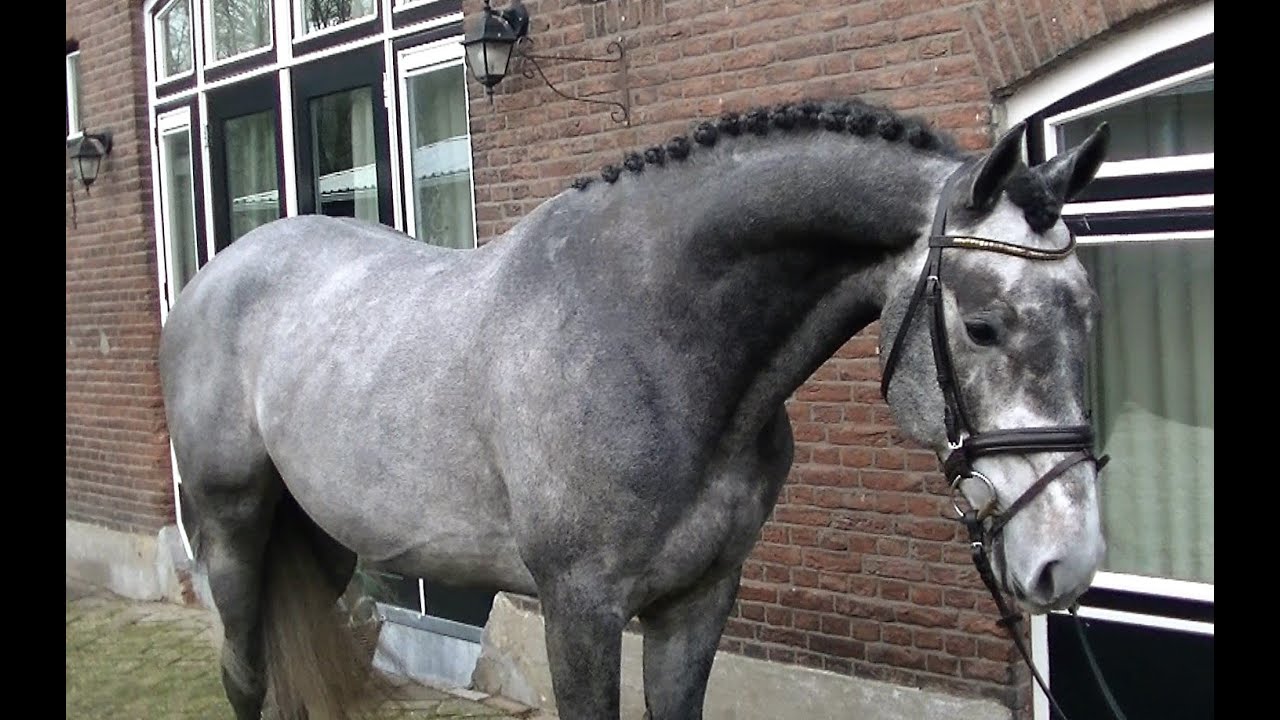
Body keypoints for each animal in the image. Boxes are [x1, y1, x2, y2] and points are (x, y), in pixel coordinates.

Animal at [158, 98, 1110, 720]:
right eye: (983, 325)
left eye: (1088, 308)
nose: (1068, 560)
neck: (651, 336)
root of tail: (212, 279)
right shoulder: (579, 609)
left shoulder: (698, 600)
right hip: (230, 530)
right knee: (243, 676)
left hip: (321, 544)